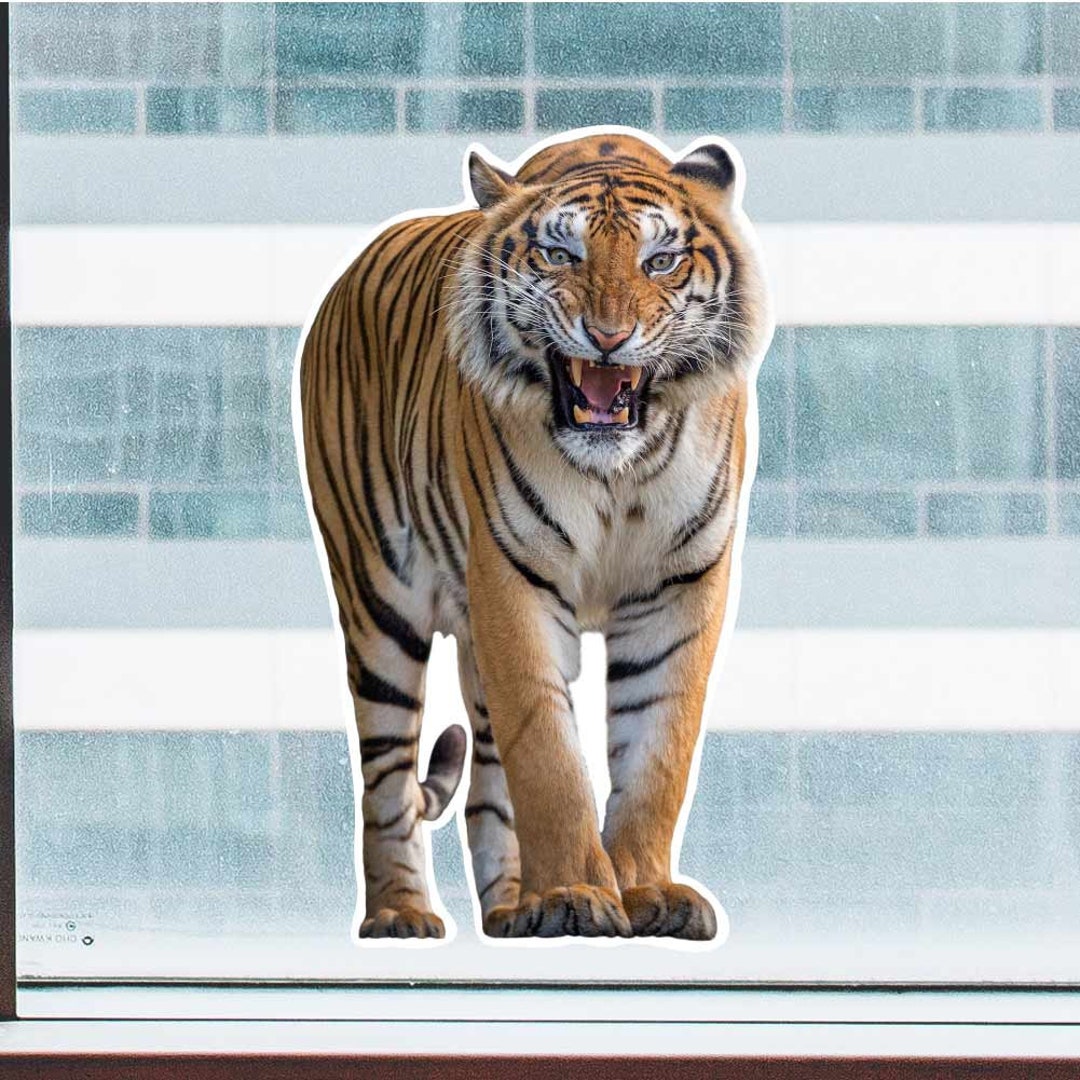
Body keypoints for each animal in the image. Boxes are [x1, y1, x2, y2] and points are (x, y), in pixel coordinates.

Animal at [296, 127, 772, 942]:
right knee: (387, 780)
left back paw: (512, 907)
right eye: (560, 255)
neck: (620, 472)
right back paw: (403, 913)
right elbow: (548, 759)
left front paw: (646, 891)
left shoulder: (680, 589)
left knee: (487, 783)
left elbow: (657, 753)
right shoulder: (512, 583)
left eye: (661, 261)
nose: (609, 337)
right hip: (378, 603)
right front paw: (577, 893)